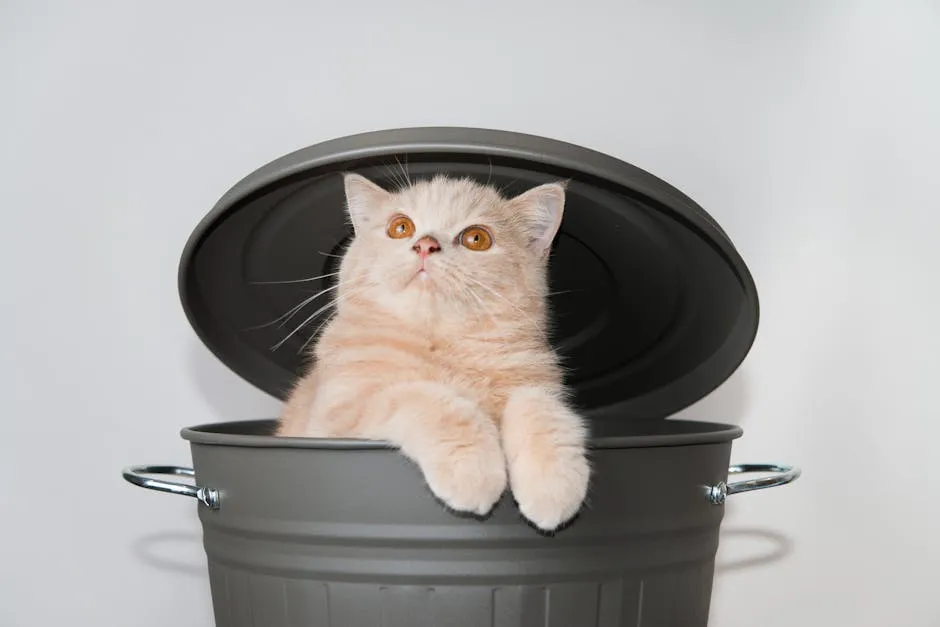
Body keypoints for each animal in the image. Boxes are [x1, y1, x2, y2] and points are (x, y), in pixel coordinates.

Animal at [276, 173, 592, 536]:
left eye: (476, 238)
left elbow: (541, 408)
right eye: (400, 227)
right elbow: (423, 397)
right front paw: (472, 469)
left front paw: (554, 483)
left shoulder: (538, 385)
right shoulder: (337, 417)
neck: (442, 344)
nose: (425, 244)